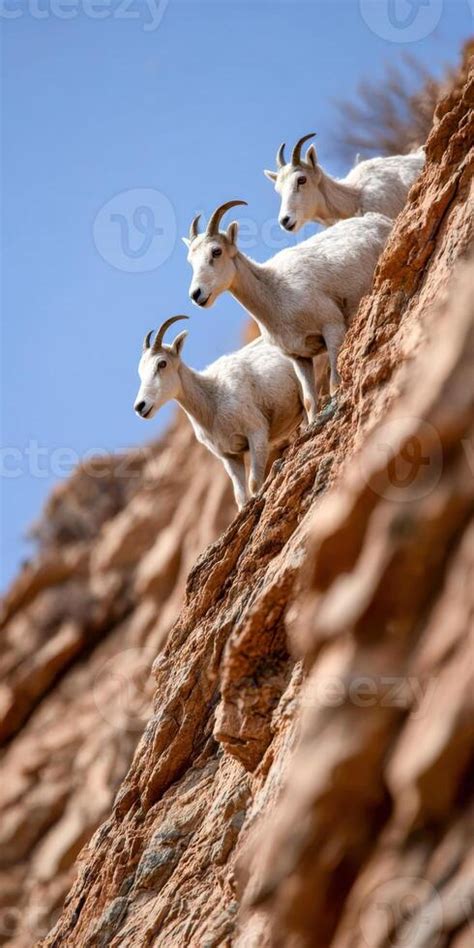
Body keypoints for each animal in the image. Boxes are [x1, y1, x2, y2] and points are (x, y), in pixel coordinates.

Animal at [134, 316, 304, 509]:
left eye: (162, 363)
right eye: (140, 370)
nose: (140, 406)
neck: (213, 400)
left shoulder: (257, 433)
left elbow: (254, 484)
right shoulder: (230, 457)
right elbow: (240, 497)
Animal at [184, 200, 392, 422]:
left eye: (216, 251)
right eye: (191, 261)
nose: (196, 294)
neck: (277, 294)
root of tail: (377, 219)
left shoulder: (332, 327)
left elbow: (334, 383)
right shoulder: (299, 356)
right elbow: (309, 401)